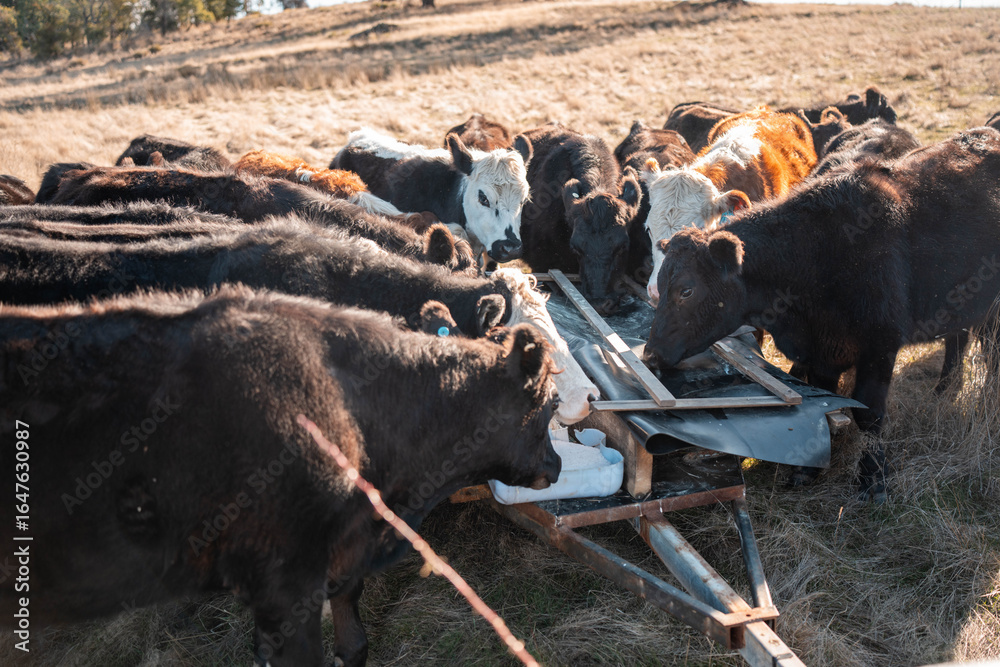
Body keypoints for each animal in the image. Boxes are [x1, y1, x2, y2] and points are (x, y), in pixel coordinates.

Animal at [642, 128, 1000, 502]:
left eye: (686, 290)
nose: (650, 354)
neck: (813, 255)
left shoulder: (879, 346)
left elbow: (870, 415)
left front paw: (874, 479)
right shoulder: (821, 353)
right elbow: (826, 401)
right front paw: (806, 470)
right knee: (958, 340)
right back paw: (945, 392)